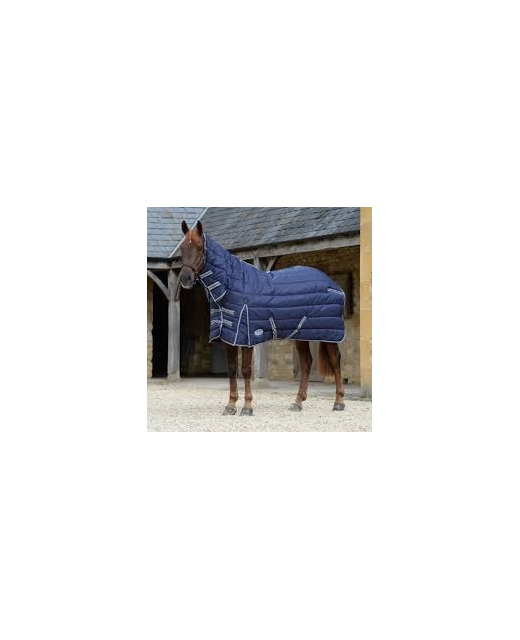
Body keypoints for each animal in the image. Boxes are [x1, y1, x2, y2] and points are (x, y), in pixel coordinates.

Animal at [178, 220, 346, 416]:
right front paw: (230, 405)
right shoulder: (229, 336)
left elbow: (246, 370)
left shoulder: (247, 336)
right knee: (306, 363)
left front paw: (247, 407)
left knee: (335, 361)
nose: (185, 279)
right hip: (301, 334)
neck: (232, 285)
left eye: (199, 247)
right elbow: (232, 369)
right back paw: (297, 403)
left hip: (329, 333)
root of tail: (334, 285)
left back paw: (339, 402)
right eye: (182, 248)